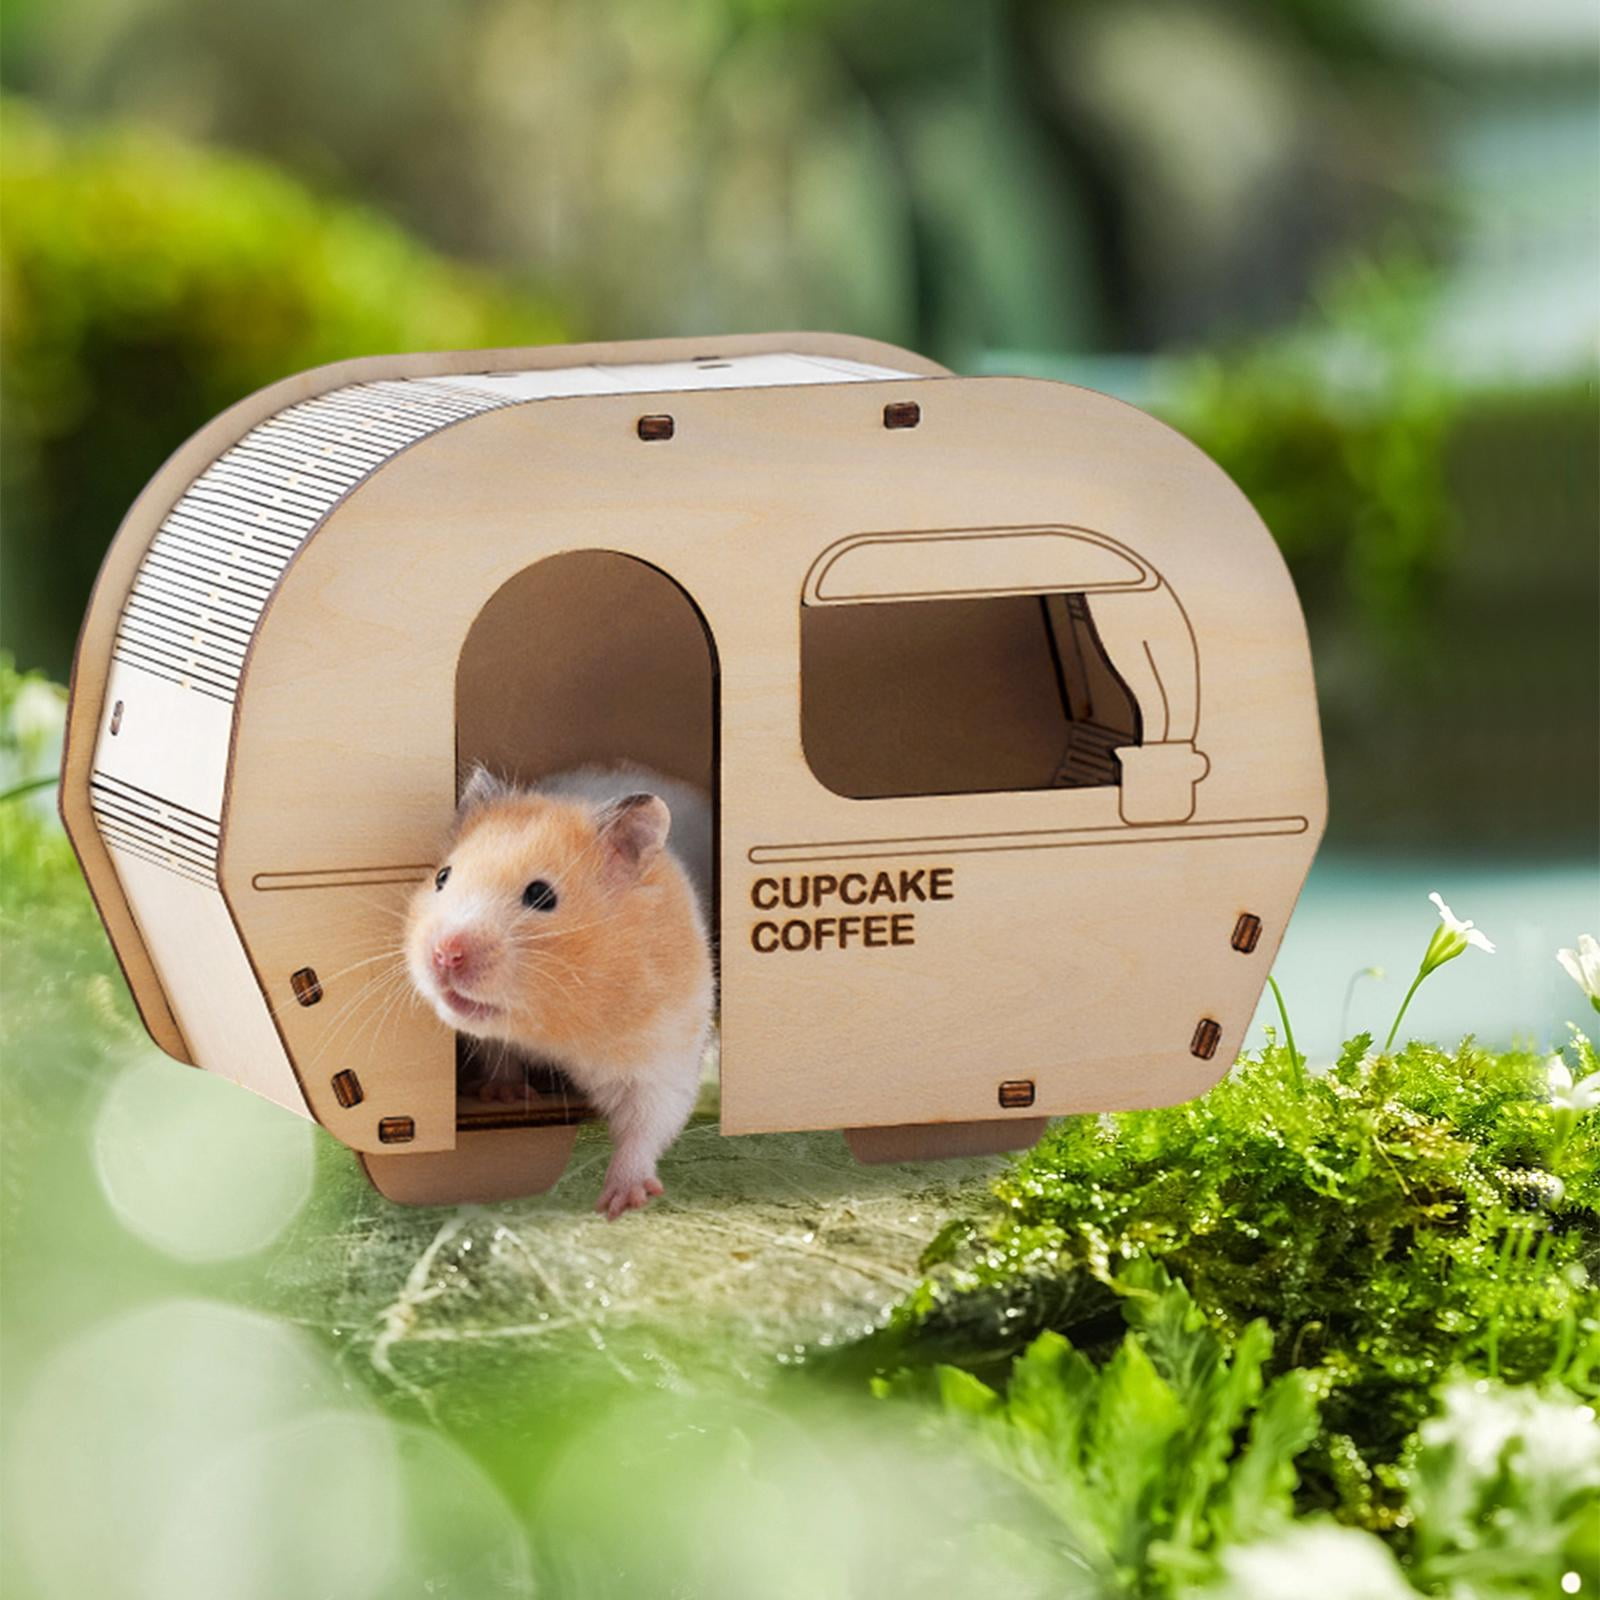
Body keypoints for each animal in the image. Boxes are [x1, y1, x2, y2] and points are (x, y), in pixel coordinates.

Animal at [404, 764, 714, 1219]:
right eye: (442, 877)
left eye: (541, 895)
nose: (444, 954)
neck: (557, 1021)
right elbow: (499, 1053)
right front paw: (505, 1095)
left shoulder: (663, 1055)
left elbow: (646, 1126)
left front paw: (616, 1204)